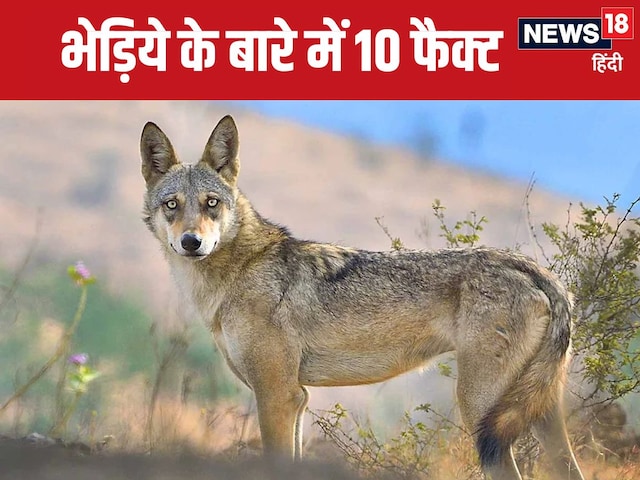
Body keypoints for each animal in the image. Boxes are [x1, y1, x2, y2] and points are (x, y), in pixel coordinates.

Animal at [140, 115, 585, 480]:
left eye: (211, 204)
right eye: (172, 205)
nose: (191, 242)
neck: (238, 272)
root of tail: (537, 271)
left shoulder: (277, 395)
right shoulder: (298, 399)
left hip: (481, 412)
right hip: (536, 411)